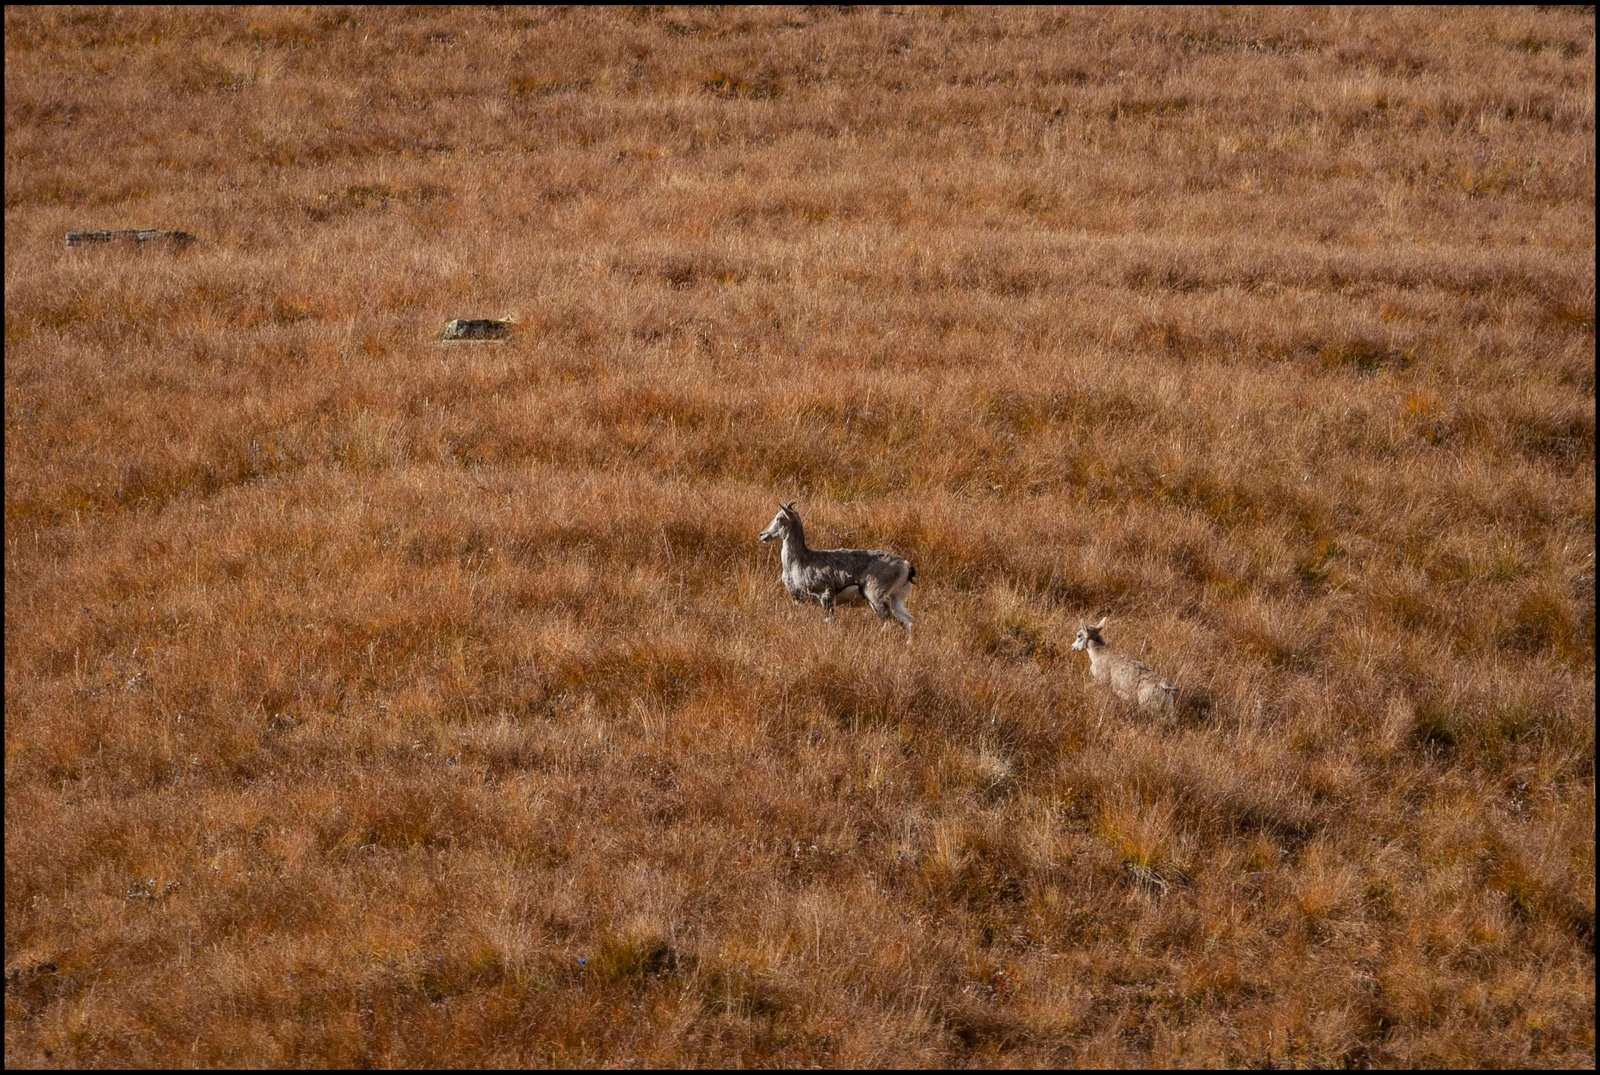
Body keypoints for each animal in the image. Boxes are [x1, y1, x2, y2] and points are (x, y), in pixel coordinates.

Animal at [758, 502, 916, 640]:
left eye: (780, 518)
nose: (763, 534)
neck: (798, 562)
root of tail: (906, 566)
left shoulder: (826, 597)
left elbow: (829, 622)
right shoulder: (798, 600)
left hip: (876, 599)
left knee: (888, 622)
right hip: (896, 600)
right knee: (908, 621)